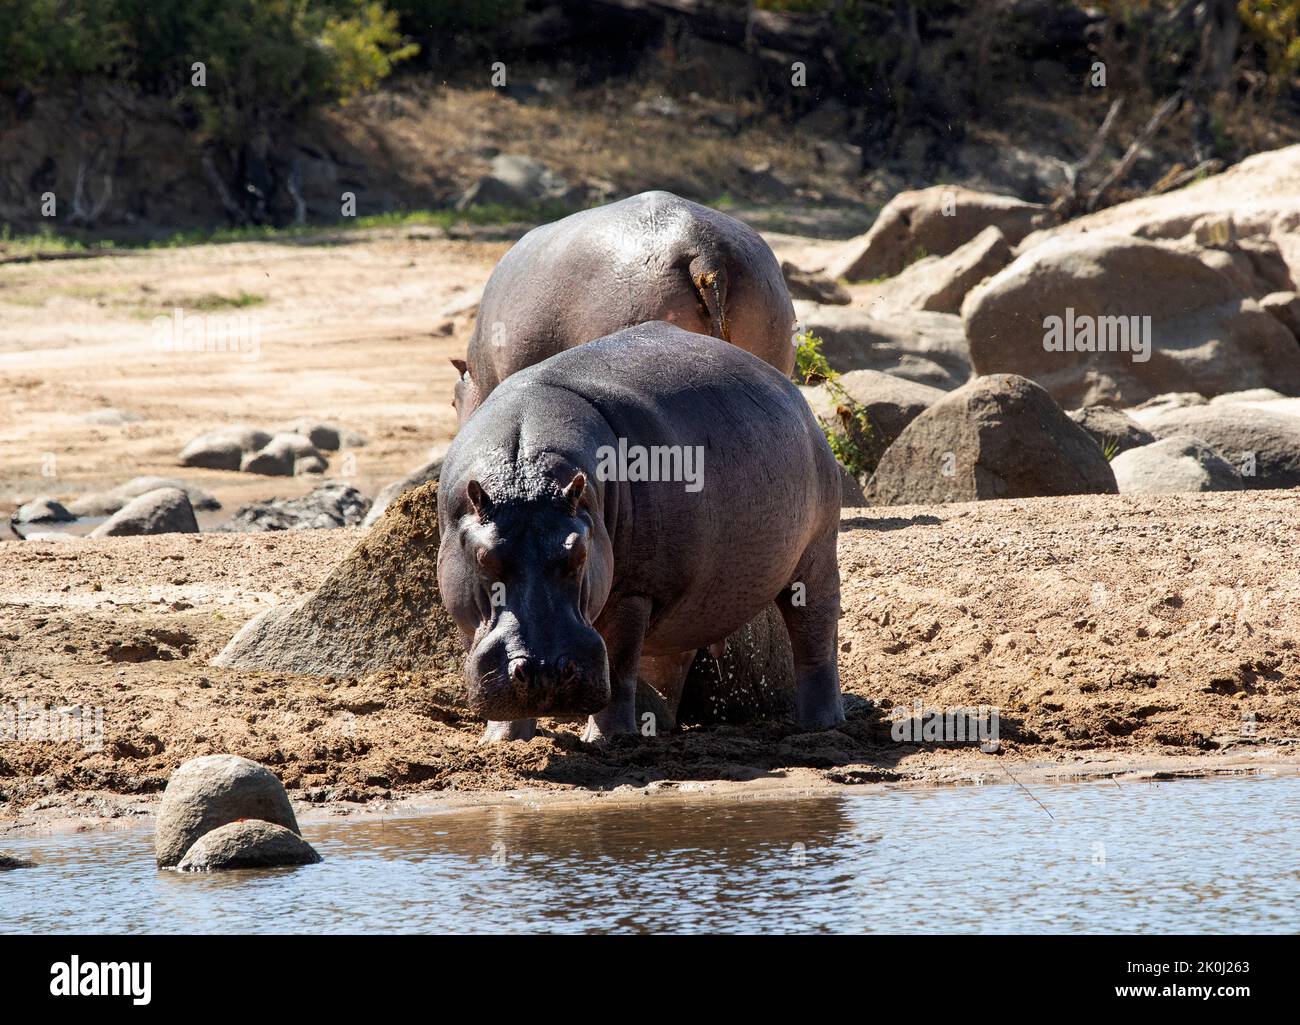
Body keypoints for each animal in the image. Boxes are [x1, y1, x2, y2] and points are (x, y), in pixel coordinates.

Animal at [437, 322, 844, 743]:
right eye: (484, 558)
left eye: (579, 553)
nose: (544, 671)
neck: (524, 469)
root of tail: (786, 386)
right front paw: (503, 741)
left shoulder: (634, 590)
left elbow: (619, 664)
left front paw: (607, 740)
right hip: (692, 596)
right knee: (676, 655)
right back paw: (661, 724)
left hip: (816, 552)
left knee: (815, 633)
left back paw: (820, 725)